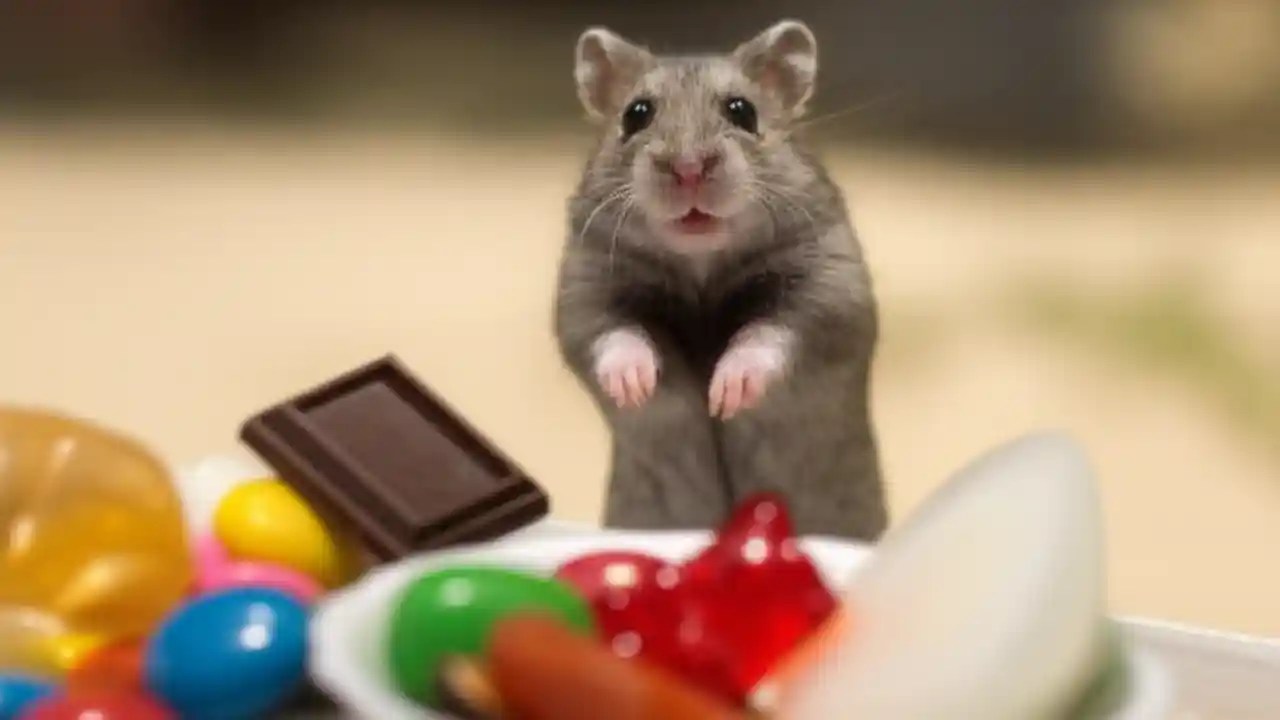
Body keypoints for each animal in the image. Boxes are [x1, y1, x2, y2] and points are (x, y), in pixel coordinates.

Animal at [553, 19, 887, 541]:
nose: (689, 168)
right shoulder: (586, 291)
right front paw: (636, 386)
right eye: (636, 115)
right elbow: (614, 335)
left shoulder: (829, 294)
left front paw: (724, 396)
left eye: (742, 111)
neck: (701, 265)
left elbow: (768, 336)